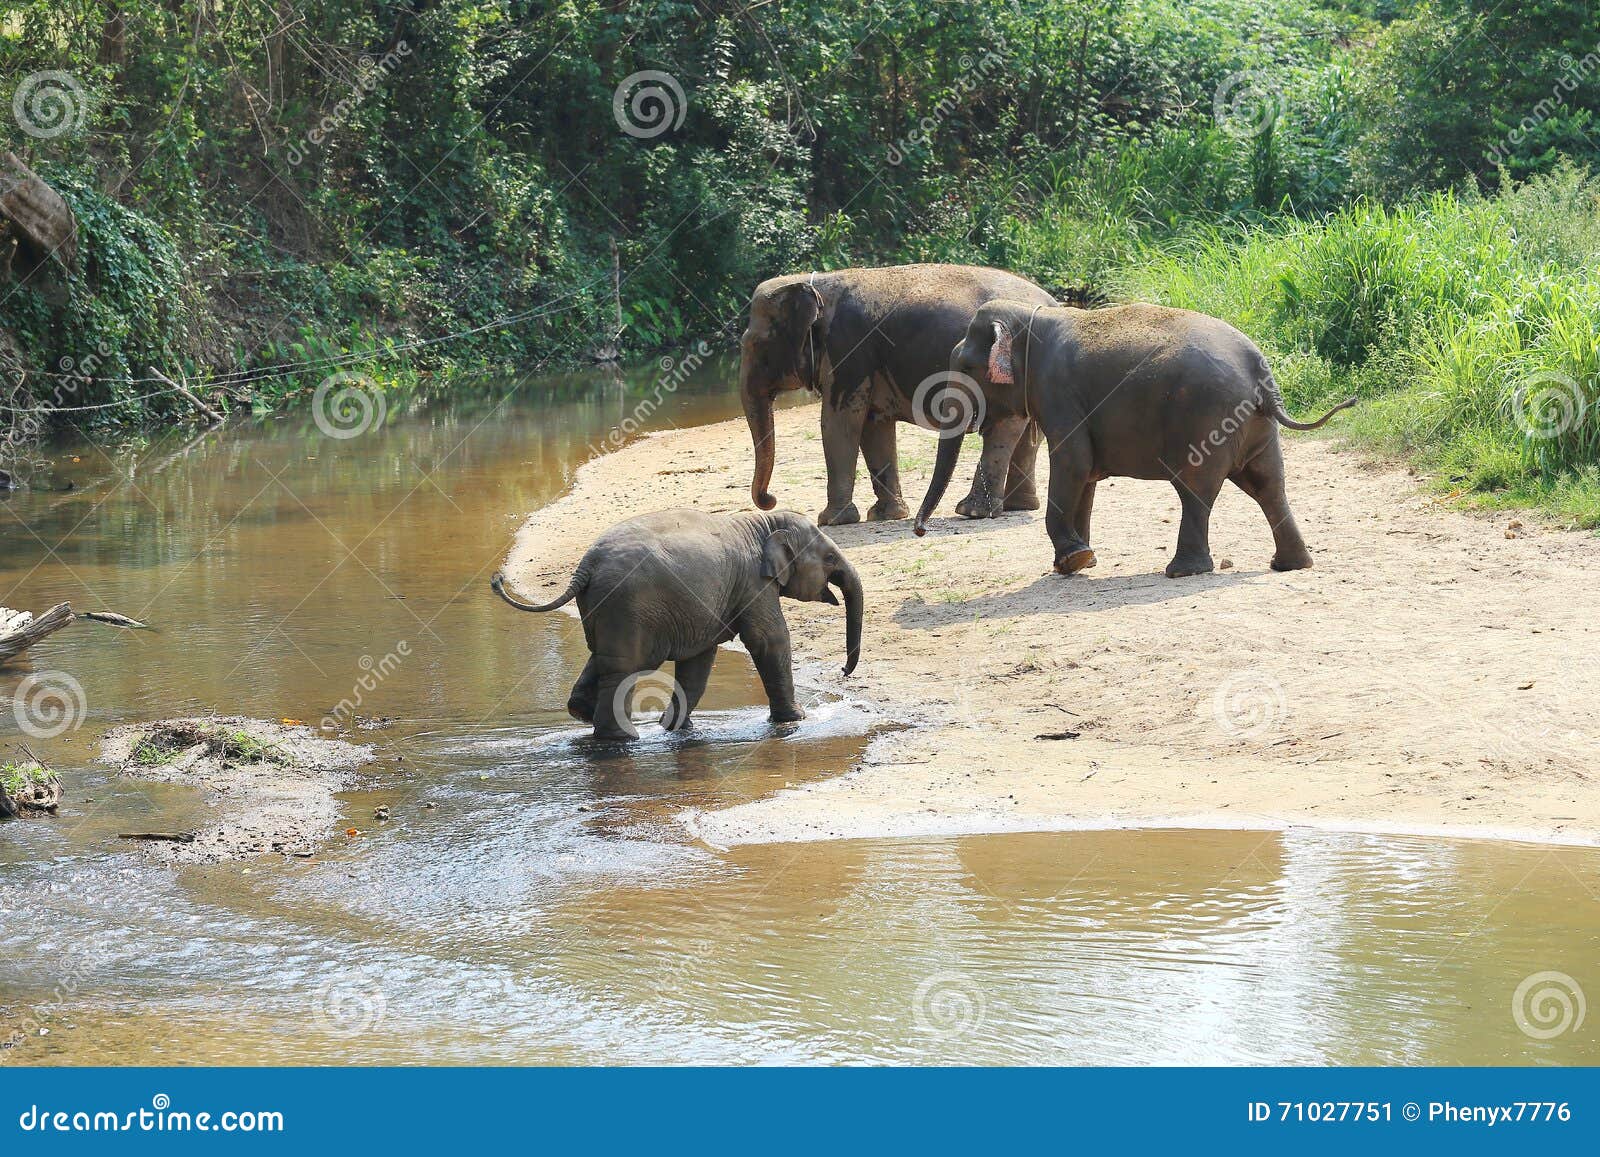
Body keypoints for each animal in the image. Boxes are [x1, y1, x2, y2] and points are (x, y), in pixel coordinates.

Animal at [491, 509, 862, 738]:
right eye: (830, 558)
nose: (843, 672)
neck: (763, 522)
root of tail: (585, 566)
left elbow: (699, 660)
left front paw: (676, 728)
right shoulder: (753, 584)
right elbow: (768, 640)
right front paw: (796, 720)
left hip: (604, 606)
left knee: (602, 656)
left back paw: (583, 714)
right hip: (628, 606)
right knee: (624, 667)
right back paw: (620, 738)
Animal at [739, 263, 1057, 527]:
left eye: (754, 344)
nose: (770, 501)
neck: (817, 284)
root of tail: (1053, 302)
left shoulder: (848, 350)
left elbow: (839, 423)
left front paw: (830, 521)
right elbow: (874, 427)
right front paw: (885, 515)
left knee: (1003, 429)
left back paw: (971, 512)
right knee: (1027, 436)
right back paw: (1018, 506)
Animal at [913, 300, 1356, 577]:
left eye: (965, 366)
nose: (919, 532)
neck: (1032, 320)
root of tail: (1260, 372)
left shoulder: (1058, 392)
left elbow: (1072, 462)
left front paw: (1074, 560)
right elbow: (1086, 475)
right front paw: (1079, 561)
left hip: (1205, 416)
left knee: (1196, 490)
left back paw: (1182, 571)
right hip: (1255, 428)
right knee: (1268, 485)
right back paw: (1291, 565)